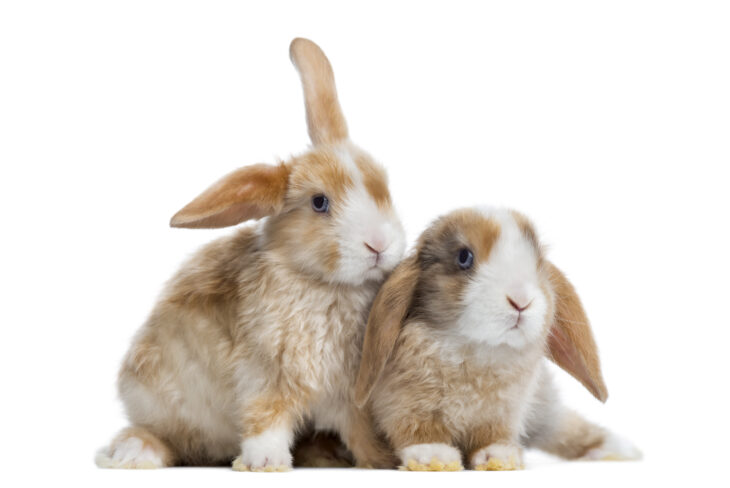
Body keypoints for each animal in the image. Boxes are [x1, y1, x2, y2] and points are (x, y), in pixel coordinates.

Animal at [95, 38, 406, 471]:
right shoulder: (266, 373)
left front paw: (380, 461)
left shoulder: (350, 393)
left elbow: (360, 429)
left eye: (384, 188)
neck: (322, 284)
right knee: (167, 438)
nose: (380, 244)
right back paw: (135, 452)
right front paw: (265, 462)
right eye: (320, 203)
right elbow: (266, 417)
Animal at [354, 207, 641, 471]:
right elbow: (417, 432)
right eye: (464, 257)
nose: (521, 300)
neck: (477, 350)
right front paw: (434, 458)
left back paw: (622, 450)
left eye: (538, 262)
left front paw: (498, 458)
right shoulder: (405, 406)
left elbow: (492, 438)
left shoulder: (502, 416)